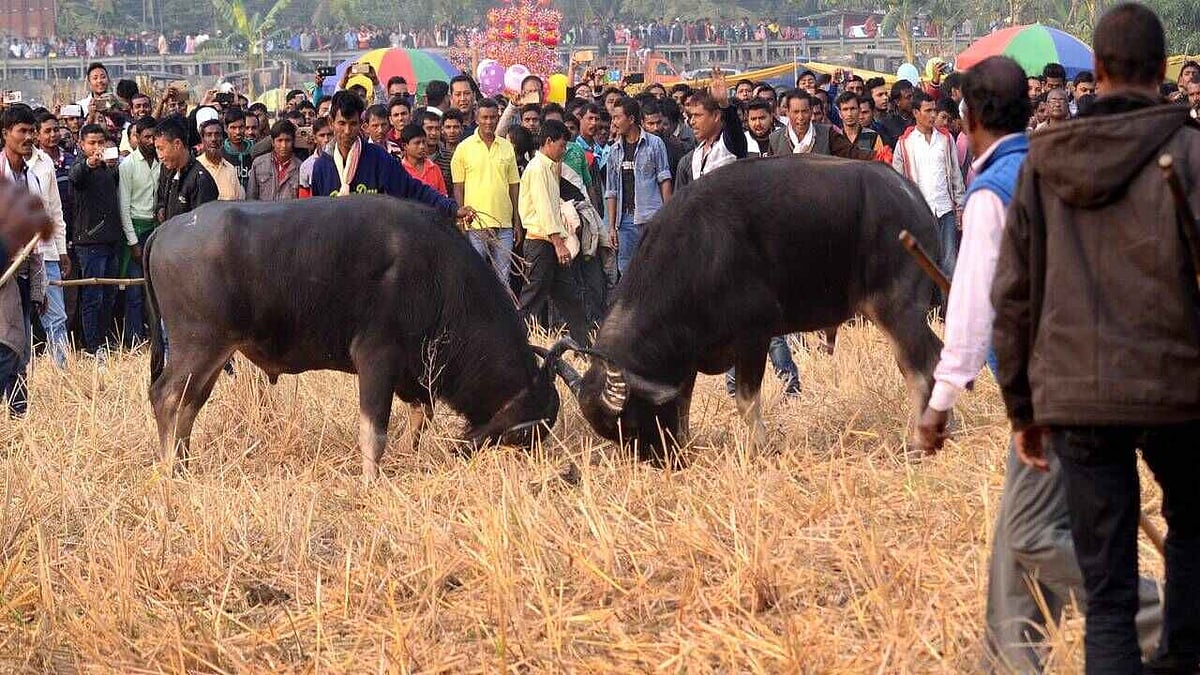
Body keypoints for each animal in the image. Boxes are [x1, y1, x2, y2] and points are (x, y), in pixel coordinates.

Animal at [143, 196, 574, 479]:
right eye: (532, 429)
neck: (439, 276)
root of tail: (167, 228)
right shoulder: (377, 357)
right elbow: (374, 431)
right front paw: (371, 480)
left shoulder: (413, 376)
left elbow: (419, 419)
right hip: (199, 344)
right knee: (167, 396)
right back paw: (171, 469)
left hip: (214, 354)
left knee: (189, 404)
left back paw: (183, 464)